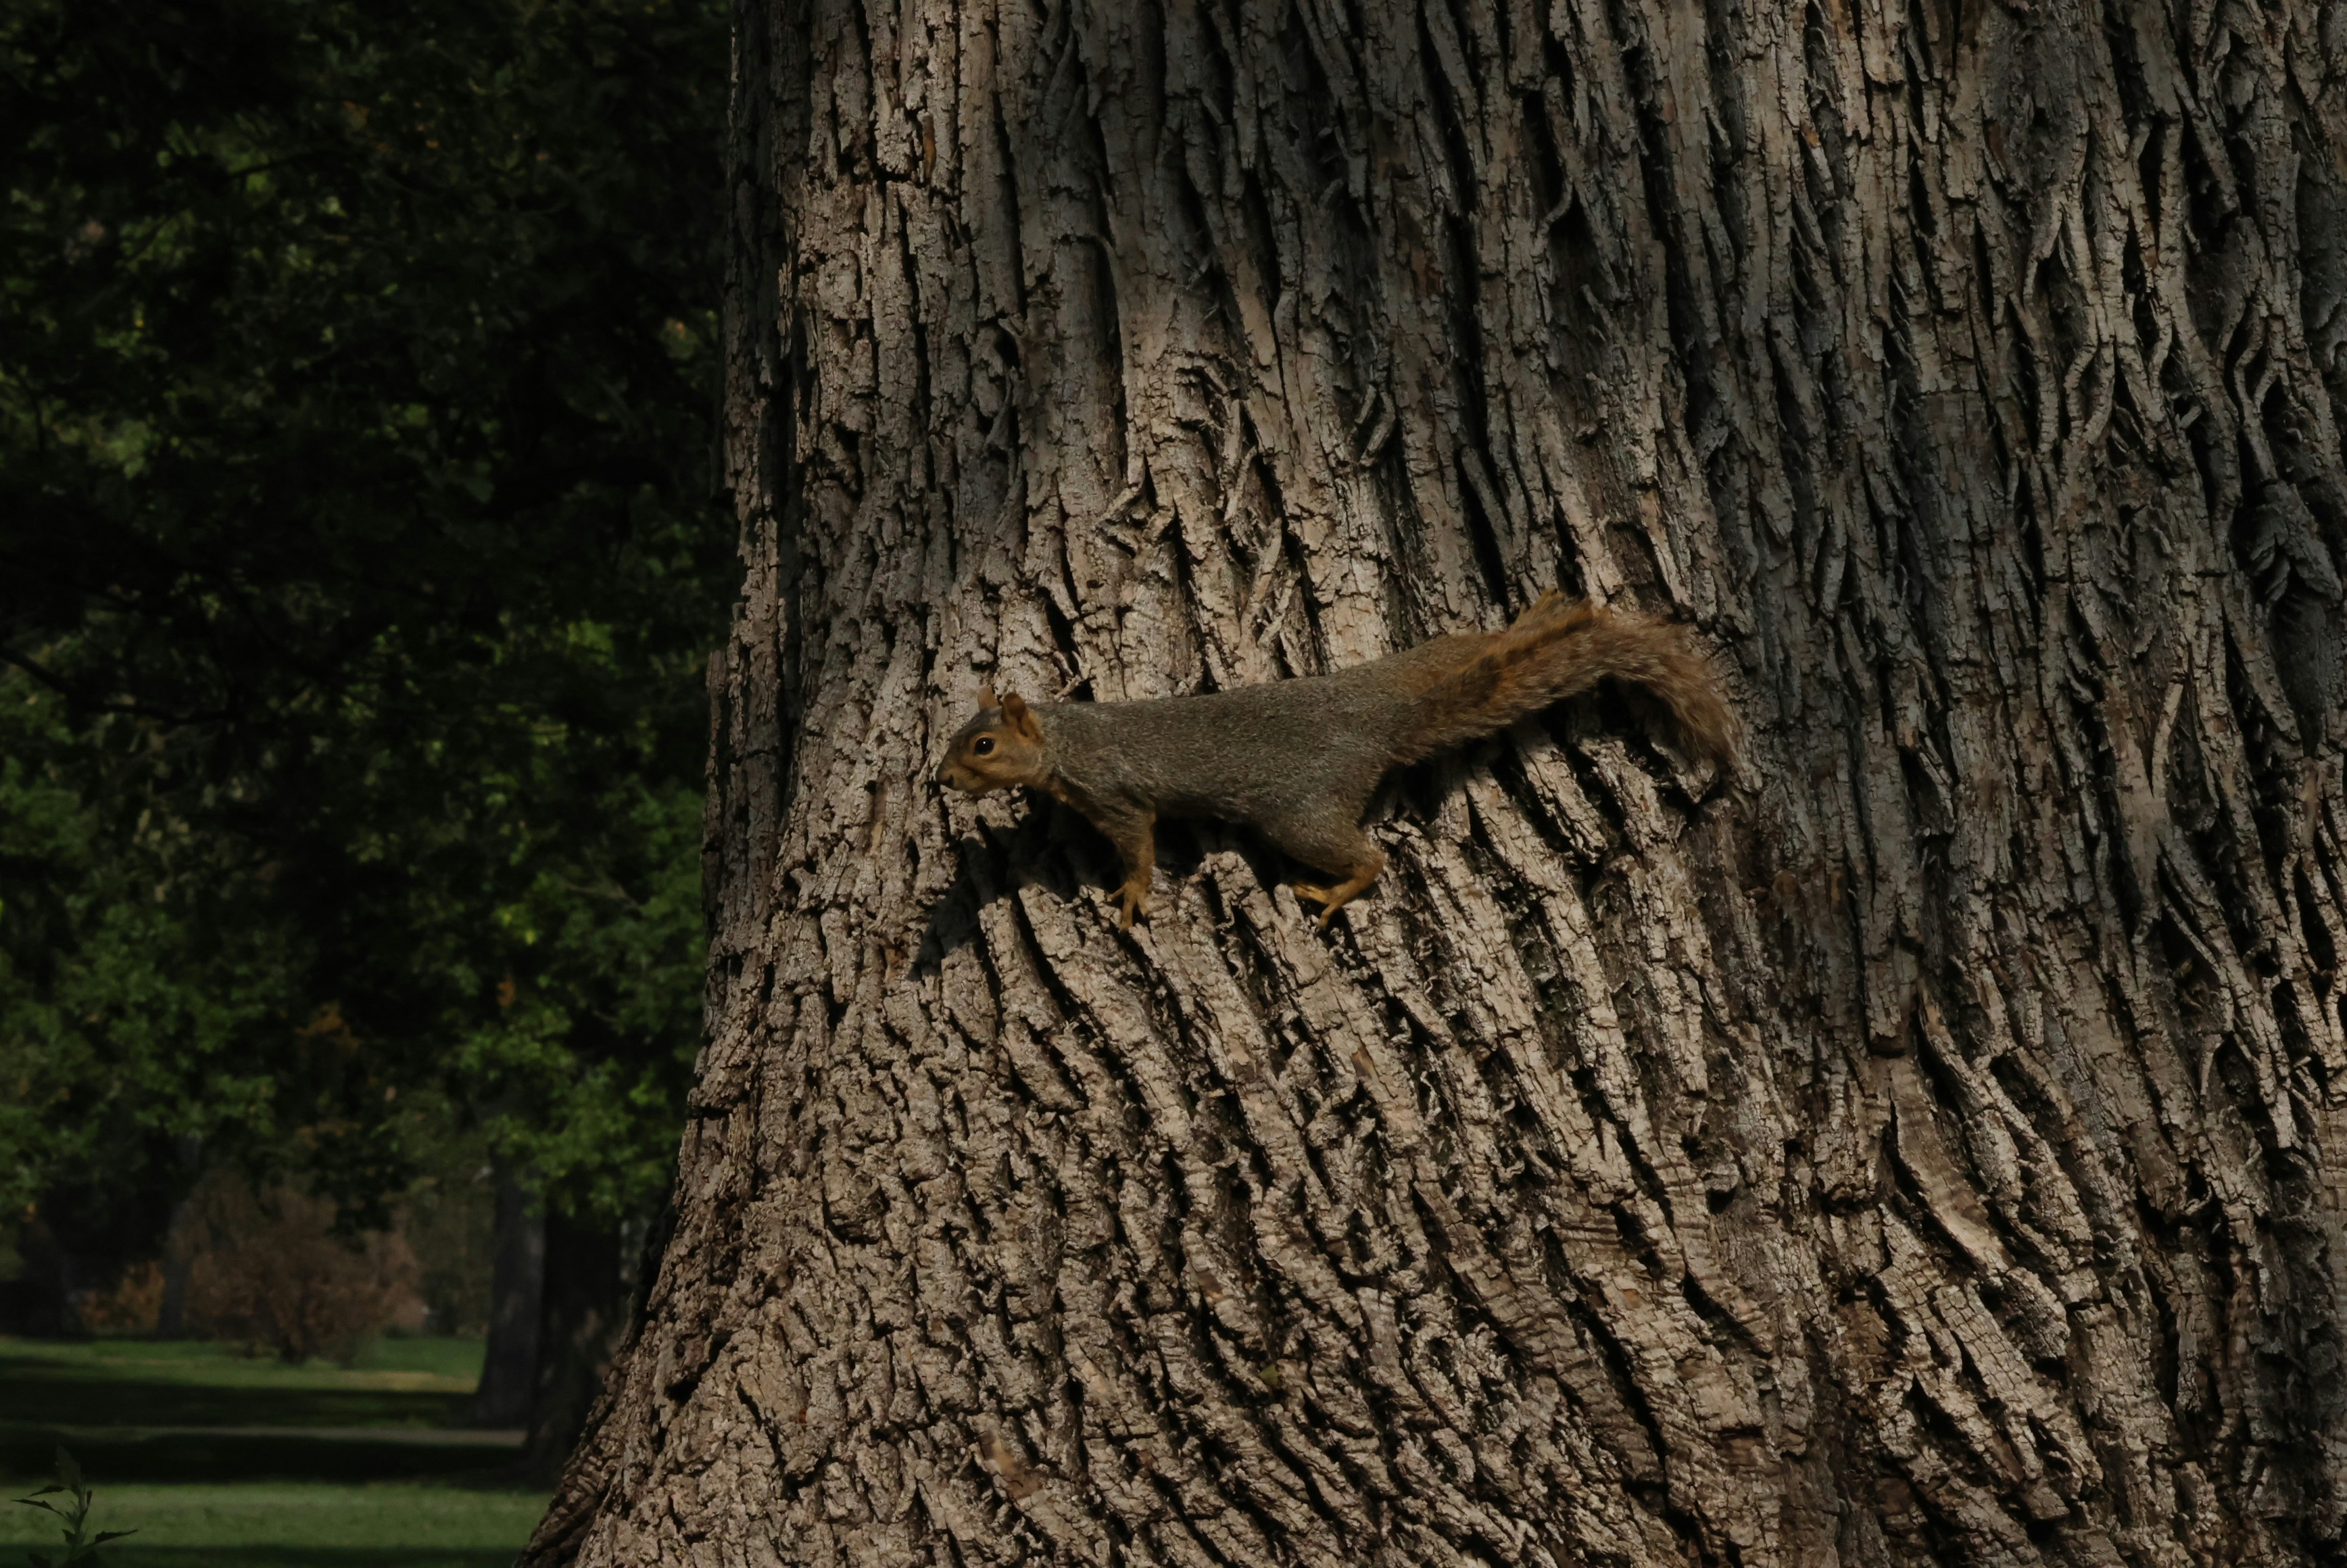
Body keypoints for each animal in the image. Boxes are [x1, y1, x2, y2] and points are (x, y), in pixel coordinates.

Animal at [935, 591, 1734, 929]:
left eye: (983, 746)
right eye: (957, 738)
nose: (941, 778)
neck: (1066, 738)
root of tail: (1380, 721)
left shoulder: (1116, 797)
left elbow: (1138, 847)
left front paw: (1131, 897)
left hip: (1298, 817)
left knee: (1369, 857)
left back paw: (1336, 892)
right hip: (1415, 664)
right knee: (1480, 646)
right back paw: (1532, 616)